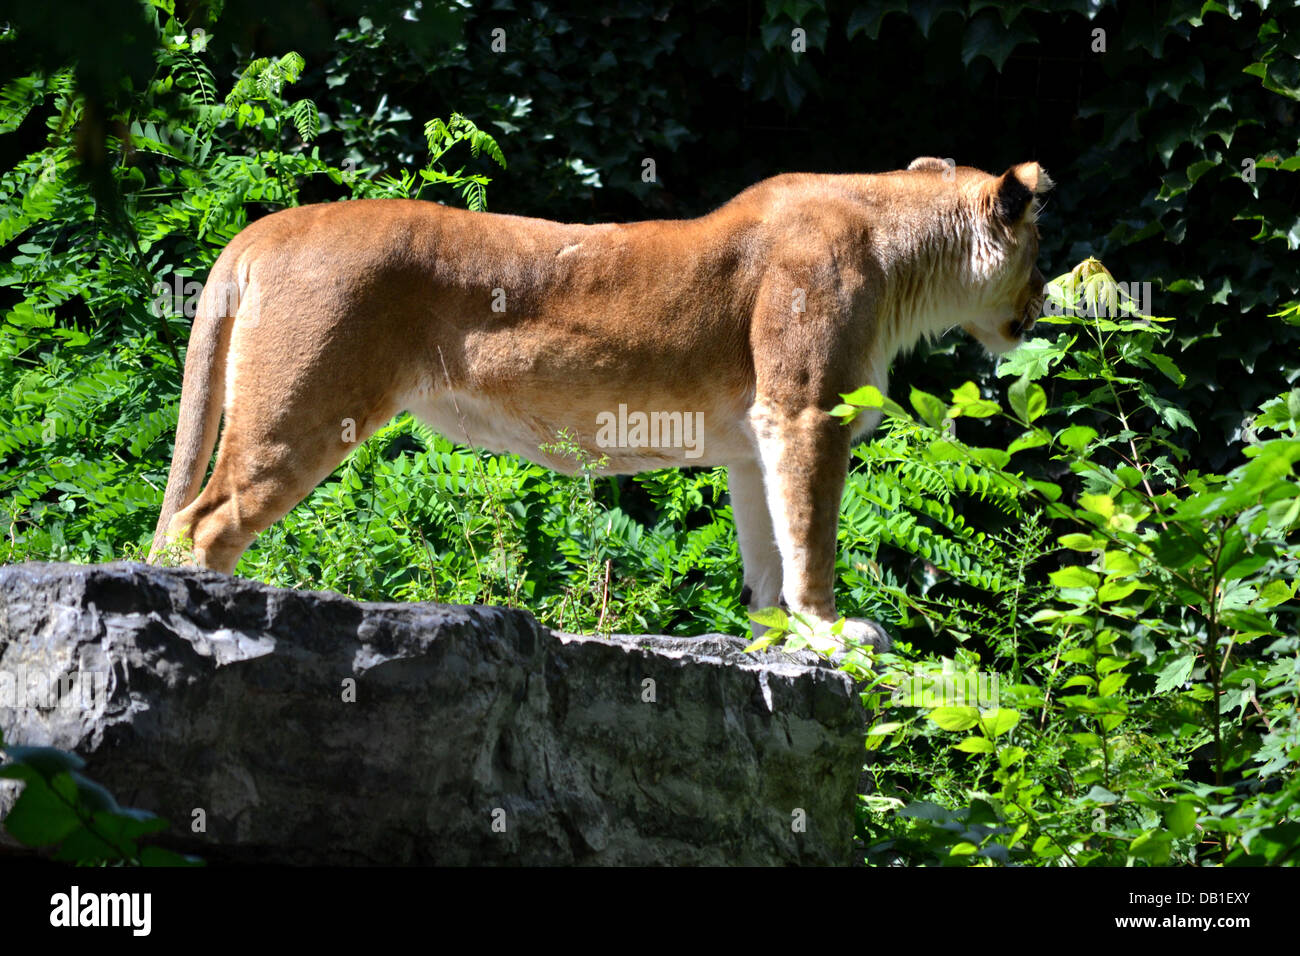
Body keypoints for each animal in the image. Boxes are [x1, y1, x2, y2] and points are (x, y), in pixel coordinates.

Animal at [149, 157, 1051, 653]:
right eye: (1041, 248)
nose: (1043, 302)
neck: (907, 265)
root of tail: (262, 230)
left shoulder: (754, 438)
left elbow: (768, 554)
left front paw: (774, 645)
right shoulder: (803, 413)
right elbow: (811, 545)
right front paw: (831, 635)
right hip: (299, 414)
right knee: (204, 524)